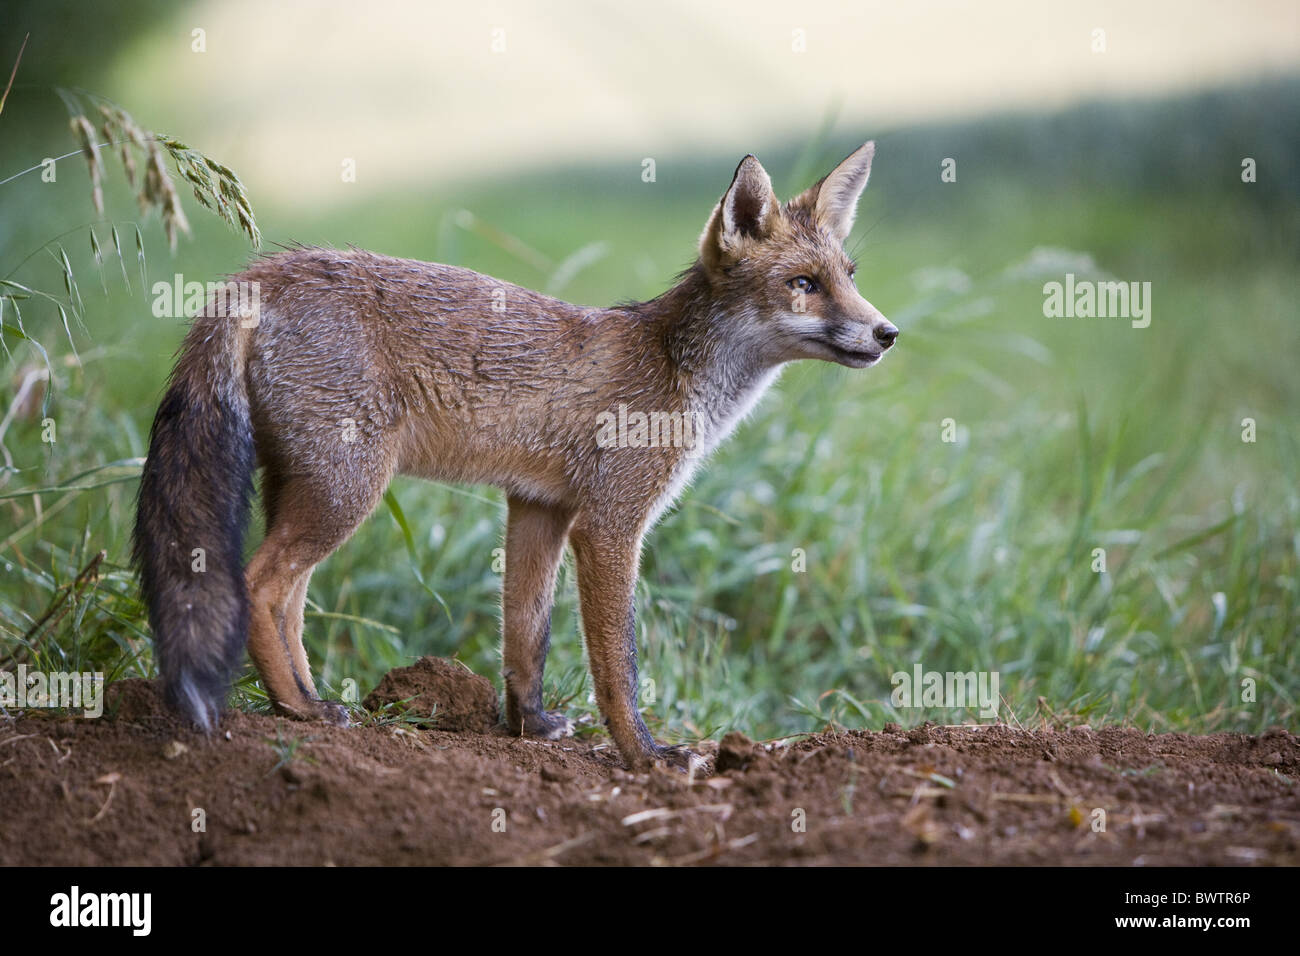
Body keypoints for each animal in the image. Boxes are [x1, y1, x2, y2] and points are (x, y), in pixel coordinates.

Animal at [133, 142, 897, 769]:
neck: (676, 372)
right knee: (260, 585)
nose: (888, 332)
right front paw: (646, 754)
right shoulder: (610, 524)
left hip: (309, 489)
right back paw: (296, 707)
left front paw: (528, 726)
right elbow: (618, 664)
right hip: (347, 491)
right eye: (804, 284)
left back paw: (306, 700)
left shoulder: (539, 507)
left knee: (289, 601)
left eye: (850, 275)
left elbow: (526, 635)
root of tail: (265, 270)